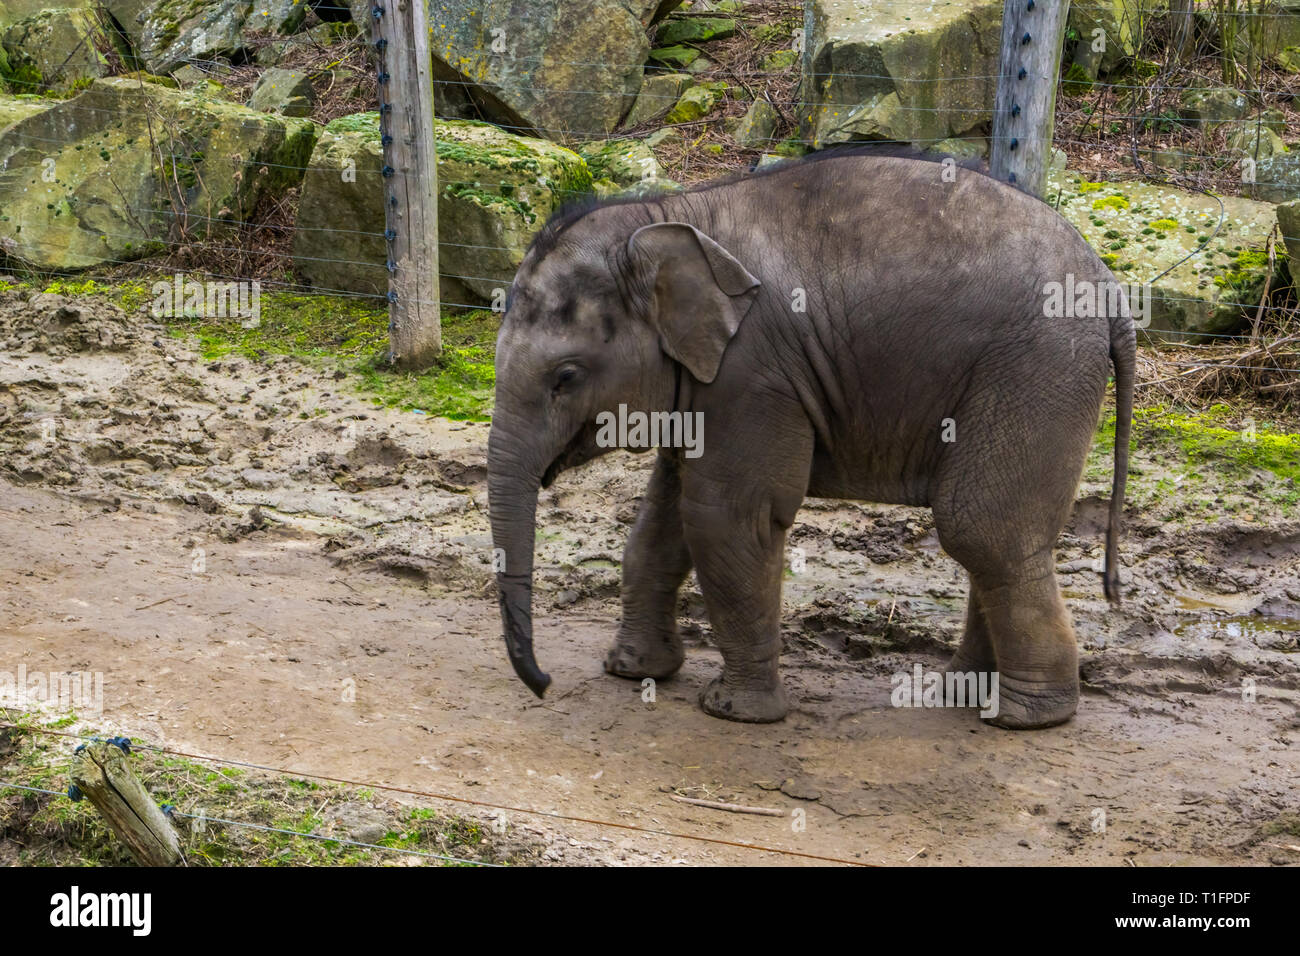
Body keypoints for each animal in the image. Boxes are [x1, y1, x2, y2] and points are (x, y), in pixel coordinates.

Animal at [487, 147, 1135, 730]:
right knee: (997, 535)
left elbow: (725, 514)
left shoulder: (753, 372)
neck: (666, 214)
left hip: (1035, 371)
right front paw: (634, 672)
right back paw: (958, 695)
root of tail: (1110, 288)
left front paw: (733, 712)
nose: (543, 684)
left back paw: (1024, 717)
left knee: (981, 527)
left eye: (565, 377)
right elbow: (664, 516)